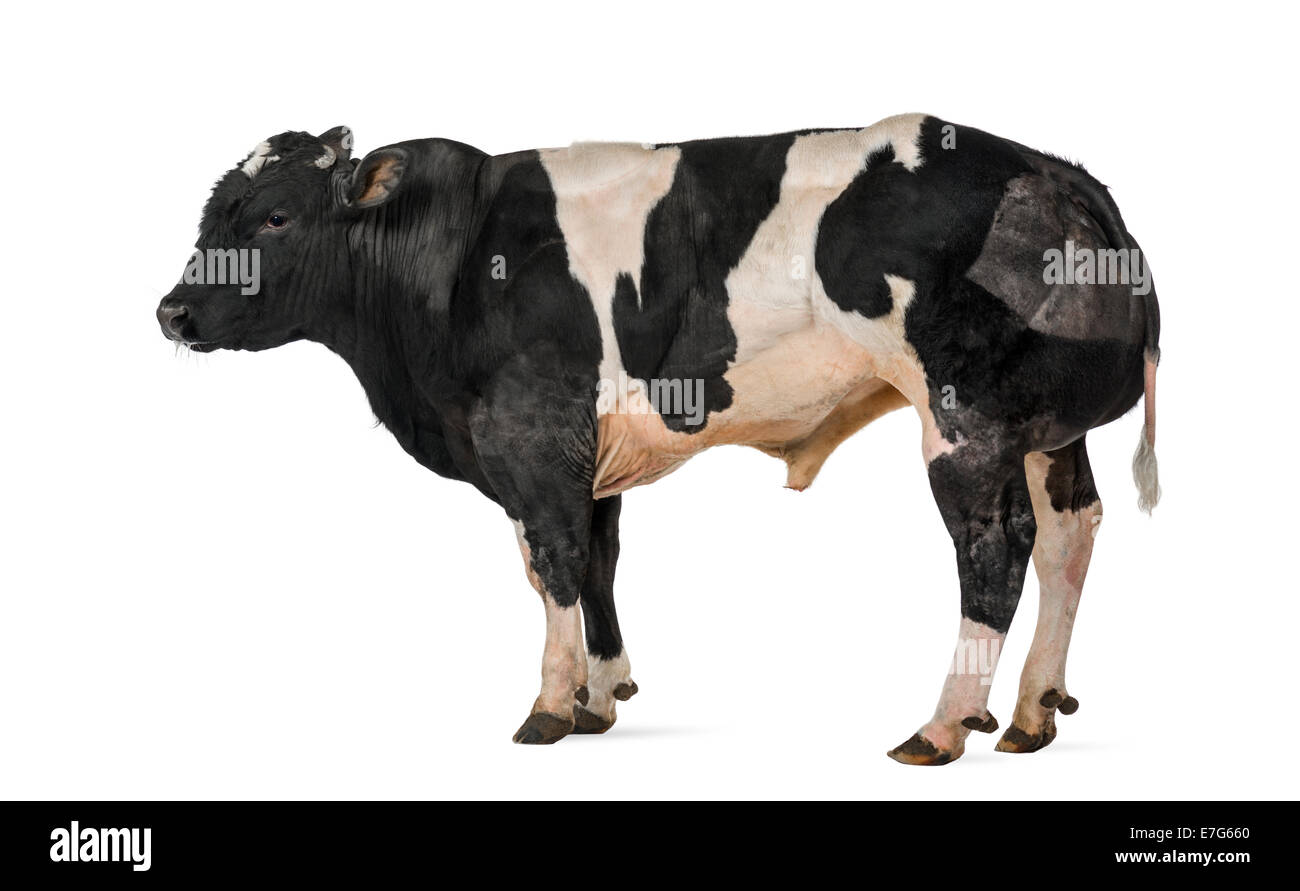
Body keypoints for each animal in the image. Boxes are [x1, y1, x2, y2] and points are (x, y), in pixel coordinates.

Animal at [156, 115, 1160, 765]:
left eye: (276, 215)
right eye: (211, 213)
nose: (172, 311)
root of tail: (1054, 172)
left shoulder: (531, 437)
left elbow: (555, 563)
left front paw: (550, 705)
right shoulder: (584, 456)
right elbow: (596, 562)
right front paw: (602, 694)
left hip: (966, 419)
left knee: (993, 548)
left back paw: (945, 724)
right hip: (1046, 426)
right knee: (1070, 533)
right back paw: (1033, 710)